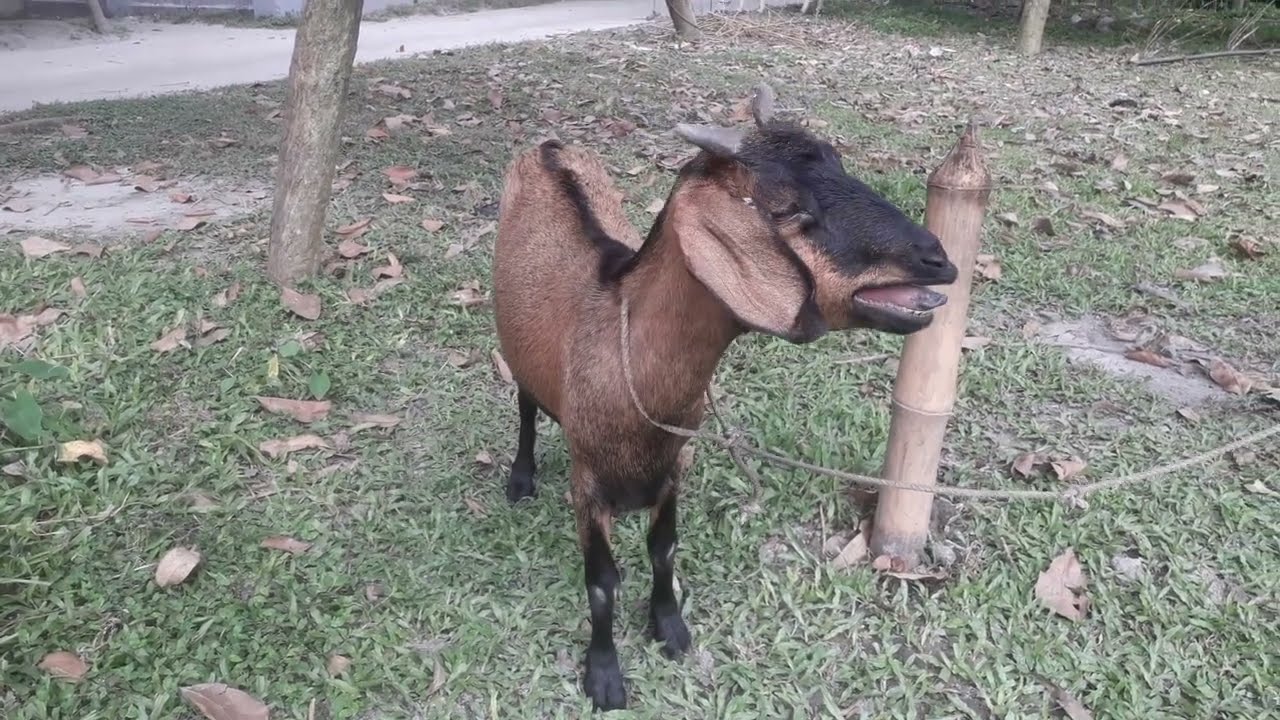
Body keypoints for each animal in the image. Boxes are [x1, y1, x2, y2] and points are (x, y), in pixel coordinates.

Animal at [491, 83, 958, 711]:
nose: (938, 258)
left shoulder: (675, 467)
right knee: (522, 398)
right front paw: (605, 675)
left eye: (841, 166)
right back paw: (520, 477)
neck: (622, 343)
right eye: (789, 209)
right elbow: (602, 583)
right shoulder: (586, 484)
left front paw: (670, 627)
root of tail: (549, 148)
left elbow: (663, 549)